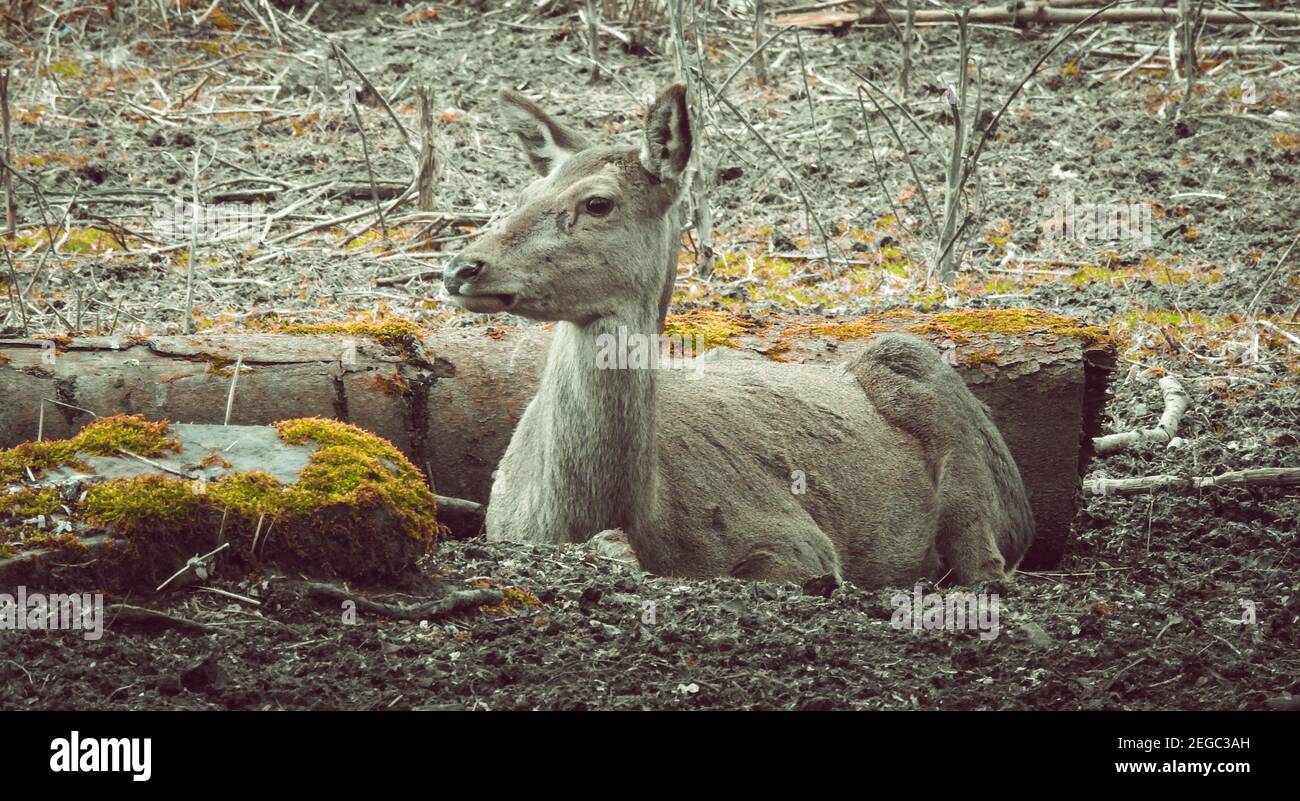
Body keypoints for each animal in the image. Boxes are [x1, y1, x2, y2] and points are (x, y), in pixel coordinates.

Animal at [443, 83, 1034, 588]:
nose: (460, 267)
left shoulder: (797, 539)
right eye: (527, 190)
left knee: (986, 564)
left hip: (951, 438)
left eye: (598, 202)